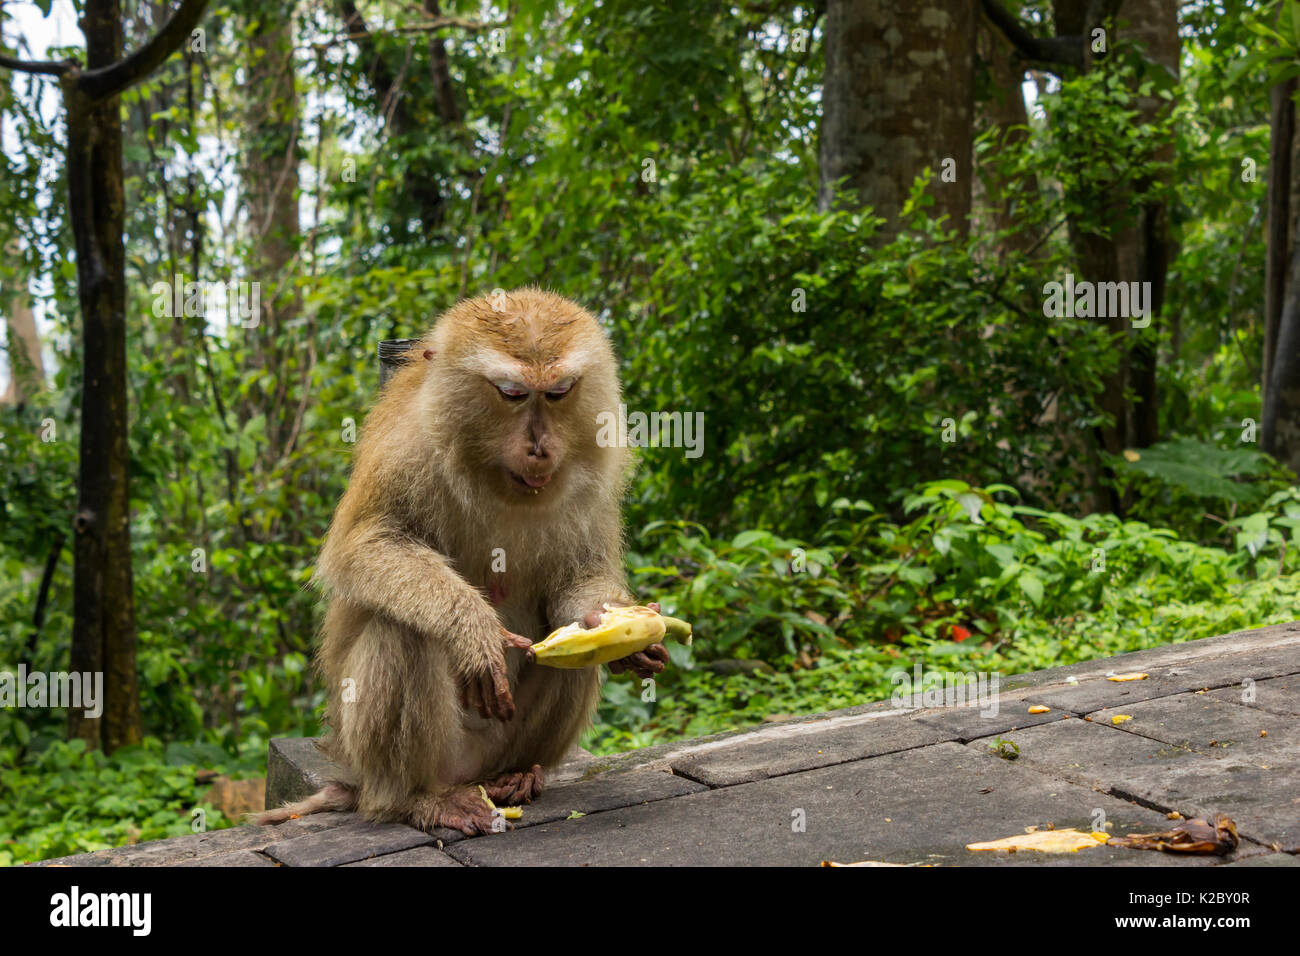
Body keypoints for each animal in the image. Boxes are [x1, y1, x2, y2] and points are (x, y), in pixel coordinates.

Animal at [257, 288, 670, 836]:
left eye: (558, 393)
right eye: (512, 394)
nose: (540, 448)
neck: (492, 472)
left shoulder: (593, 470)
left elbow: (579, 577)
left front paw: (624, 636)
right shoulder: (405, 446)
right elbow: (365, 546)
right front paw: (472, 629)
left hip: (499, 742)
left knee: (573, 652)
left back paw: (517, 775)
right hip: (405, 753)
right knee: (404, 629)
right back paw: (416, 798)